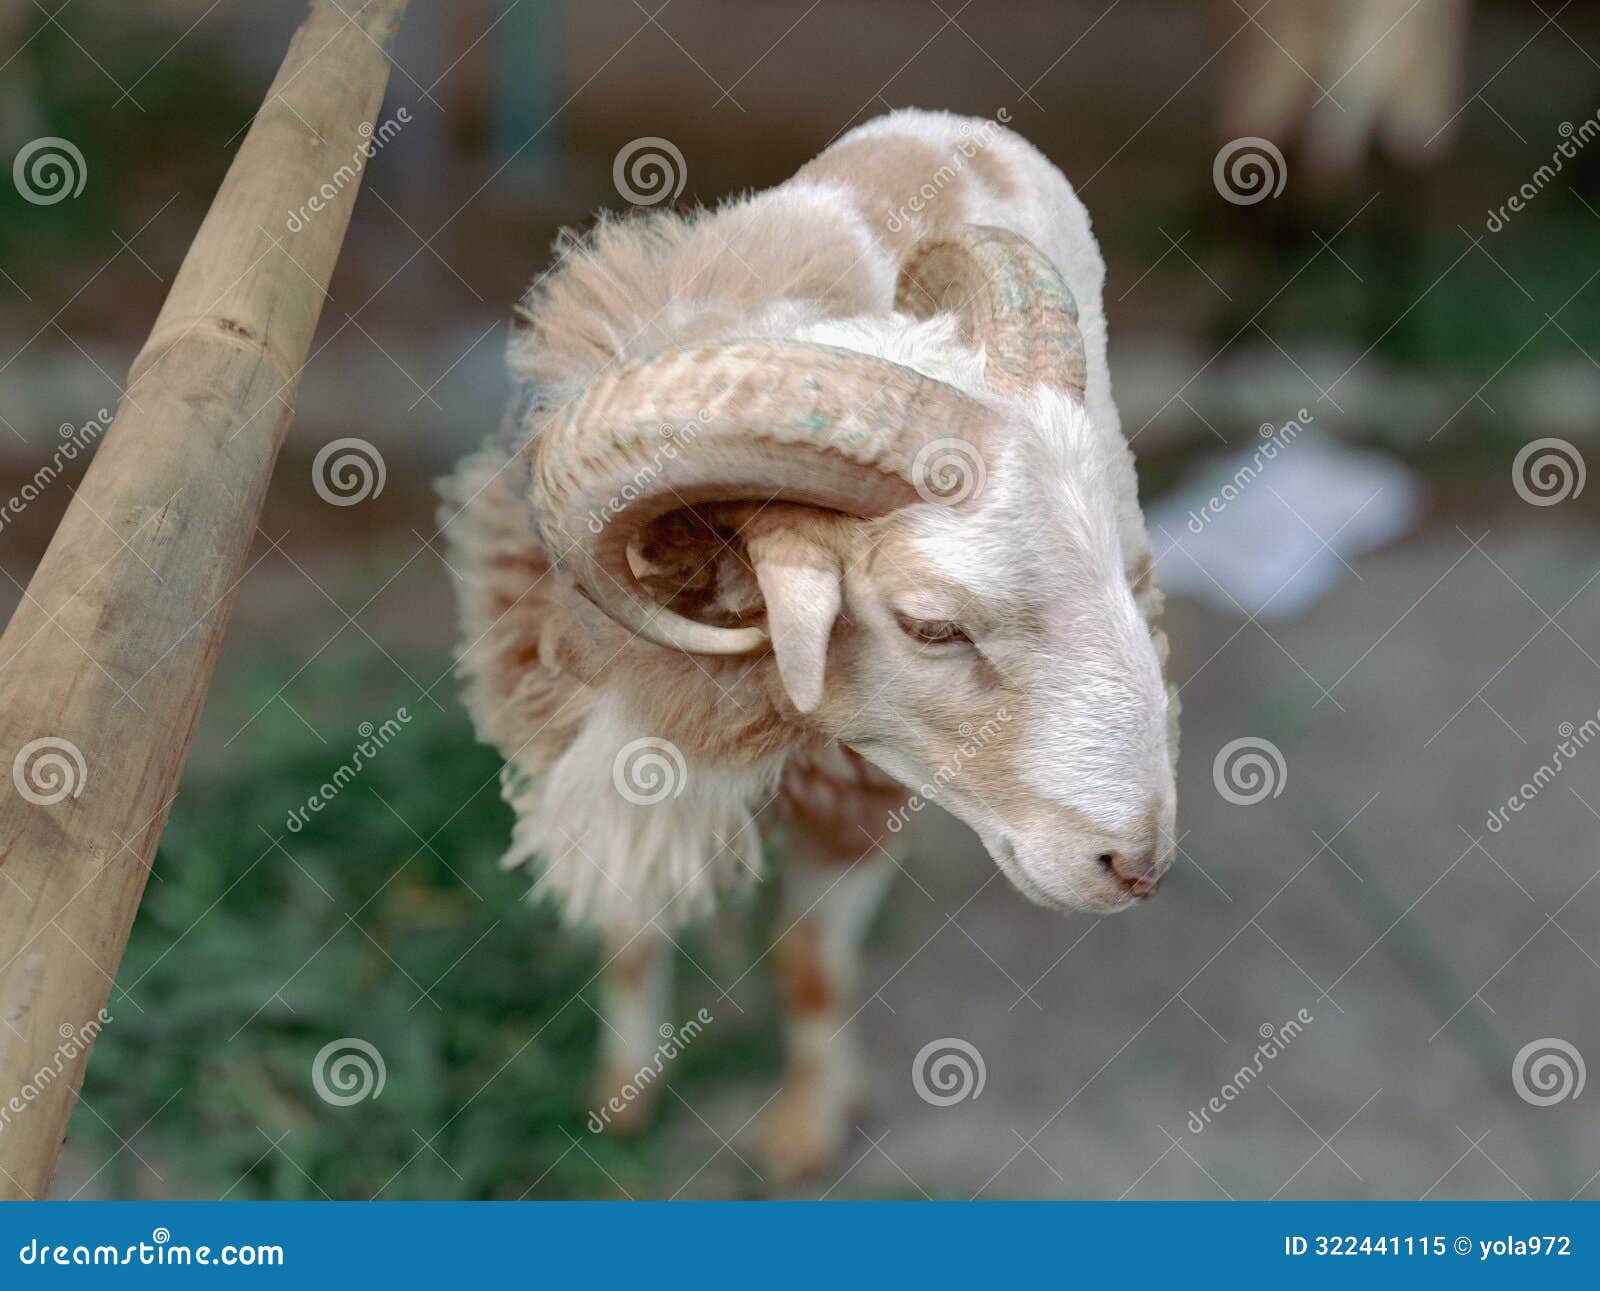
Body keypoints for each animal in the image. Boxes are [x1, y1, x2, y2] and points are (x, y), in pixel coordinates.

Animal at [440, 108, 1179, 1182]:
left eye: (1117, 575)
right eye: (931, 624)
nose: (1138, 864)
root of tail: (949, 123)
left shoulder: (856, 790)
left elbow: (809, 964)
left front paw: (805, 1127)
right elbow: (630, 929)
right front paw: (621, 1100)